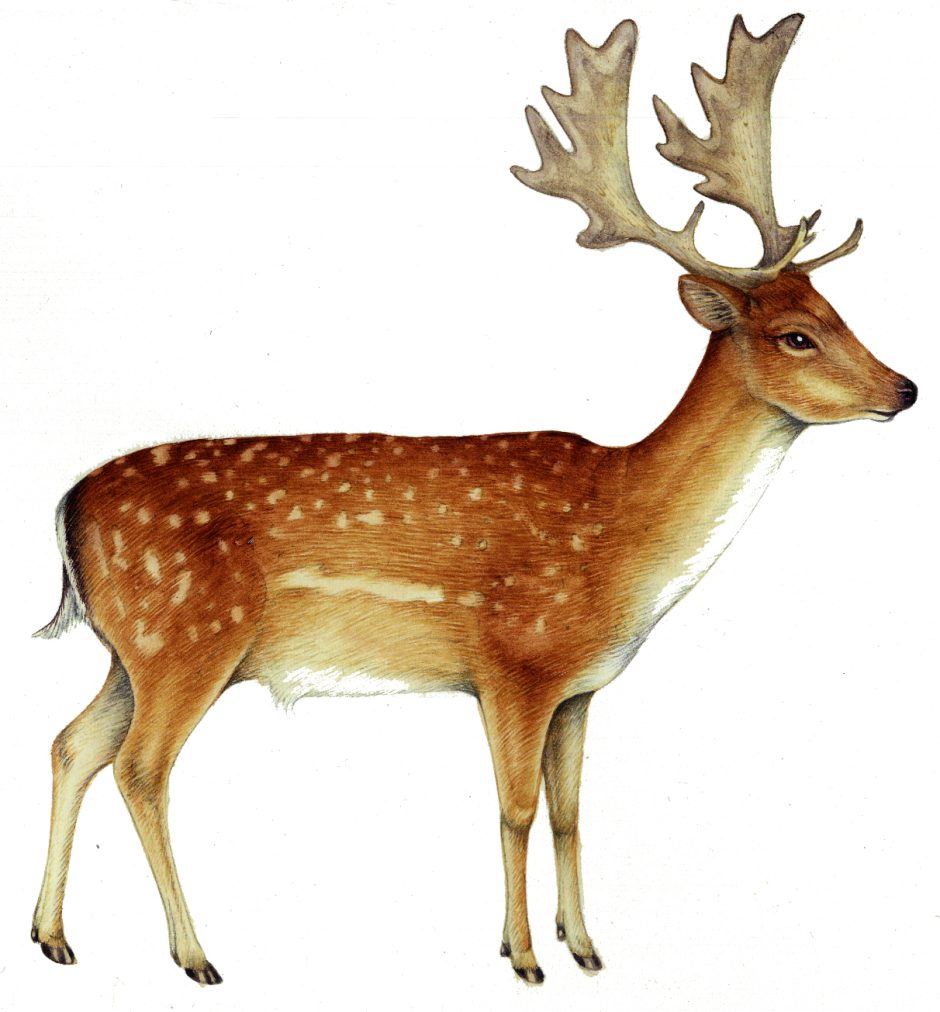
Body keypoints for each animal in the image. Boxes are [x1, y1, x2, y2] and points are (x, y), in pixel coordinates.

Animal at [30, 12, 915, 988]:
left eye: (839, 310)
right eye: (796, 335)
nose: (906, 388)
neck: (622, 537)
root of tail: (66, 508)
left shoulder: (579, 688)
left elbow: (569, 812)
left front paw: (585, 948)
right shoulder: (514, 660)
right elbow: (515, 809)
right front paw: (523, 958)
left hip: (134, 650)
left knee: (71, 743)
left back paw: (54, 937)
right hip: (188, 639)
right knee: (140, 768)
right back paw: (195, 955)